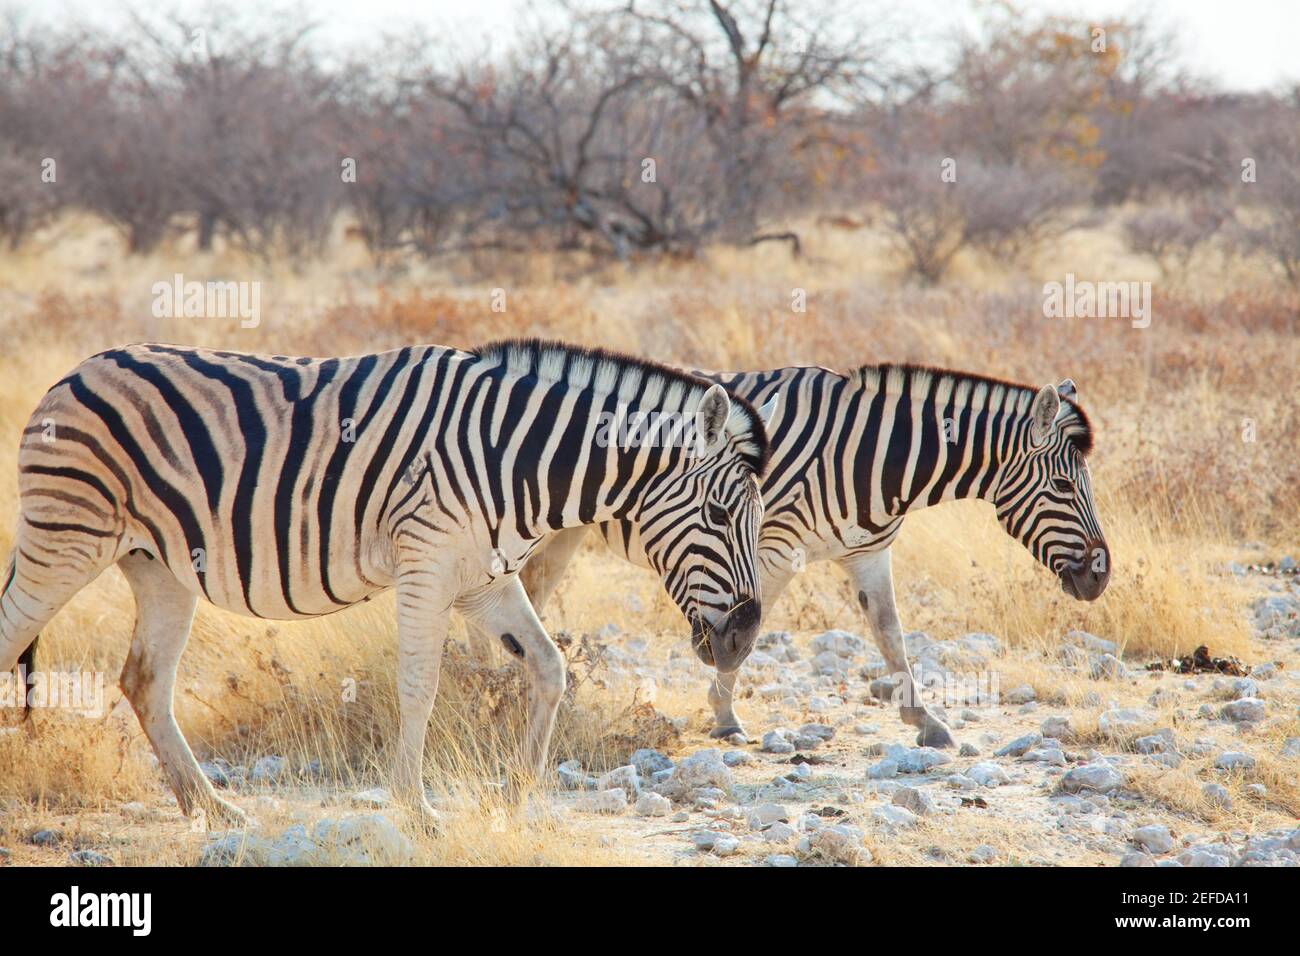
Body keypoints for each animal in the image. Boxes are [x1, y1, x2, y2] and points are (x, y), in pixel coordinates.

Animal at [0, 339, 775, 825]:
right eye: (718, 514)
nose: (744, 638)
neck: (514, 457)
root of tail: (72, 372)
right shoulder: (426, 564)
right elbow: (420, 686)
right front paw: (415, 807)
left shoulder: (484, 579)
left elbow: (551, 668)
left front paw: (516, 795)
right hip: (65, 540)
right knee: (18, 639)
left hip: (158, 566)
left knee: (145, 681)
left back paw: (213, 809)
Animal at [484, 363, 1109, 747]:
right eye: (1062, 486)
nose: (1101, 577)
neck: (868, 457)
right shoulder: (775, 550)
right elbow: (744, 636)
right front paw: (725, 717)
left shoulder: (869, 552)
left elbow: (890, 633)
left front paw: (924, 720)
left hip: (560, 532)